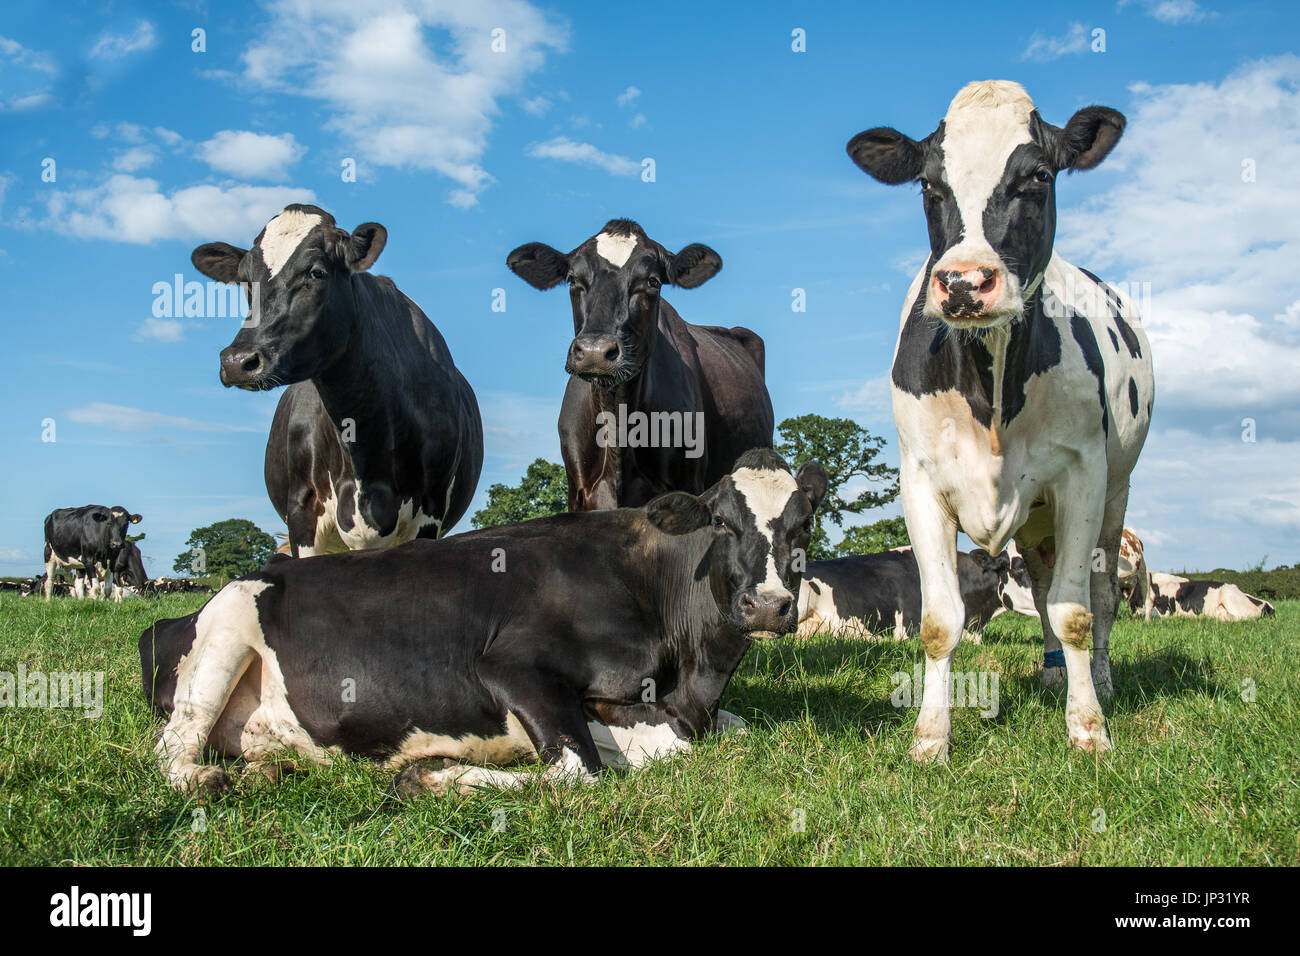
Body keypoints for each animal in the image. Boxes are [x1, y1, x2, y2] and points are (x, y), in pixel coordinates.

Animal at [140, 449, 828, 796]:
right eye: (722, 521)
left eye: (805, 524)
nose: (768, 606)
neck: (694, 675)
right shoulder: (512, 666)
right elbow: (580, 771)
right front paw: (434, 775)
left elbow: (719, 730)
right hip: (226, 632)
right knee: (173, 752)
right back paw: (207, 777)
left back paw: (268, 768)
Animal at [847, 80, 1154, 759]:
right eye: (929, 185)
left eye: (1038, 176)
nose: (965, 283)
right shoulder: (920, 481)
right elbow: (940, 622)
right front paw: (930, 739)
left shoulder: (1083, 476)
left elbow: (1076, 612)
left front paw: (1088, 728)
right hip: (1038, 517)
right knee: (1039, 584)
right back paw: (1052, 672)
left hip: (1115, 493)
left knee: (1097, 597)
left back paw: (1098, 680)